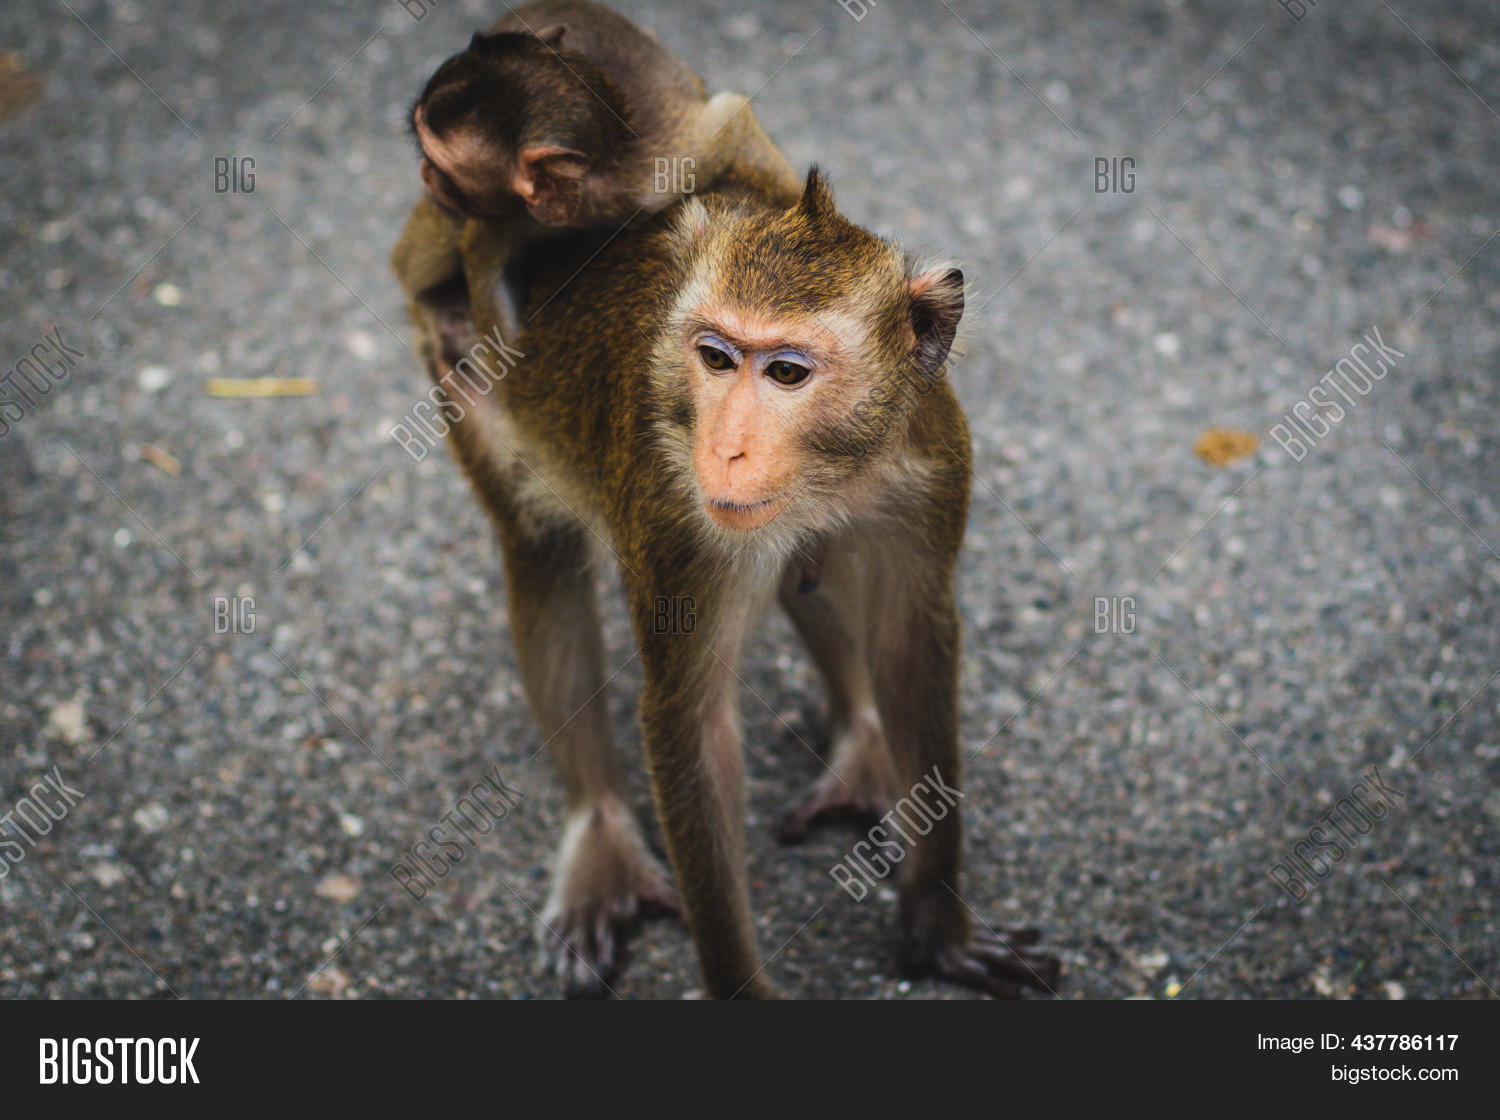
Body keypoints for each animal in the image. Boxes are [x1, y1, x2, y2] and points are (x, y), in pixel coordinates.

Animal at [390, 0, 796, 348]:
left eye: (442, 169)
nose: (427, 176)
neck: (594, 176)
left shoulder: (666, 170)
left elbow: (735, 118)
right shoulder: (516, 212)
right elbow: (489, 262)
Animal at [394, 139, 1061, 997]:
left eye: (786, 373)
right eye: (715, 358)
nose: (728, 449)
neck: (834, 471)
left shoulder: (931, 459)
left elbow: (911, 648)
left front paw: (939, 928)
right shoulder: (680, 513)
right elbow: (693, 723)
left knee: (805, 566)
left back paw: (864, 748)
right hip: (461, 363)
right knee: (541, 553)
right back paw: (601, 834)